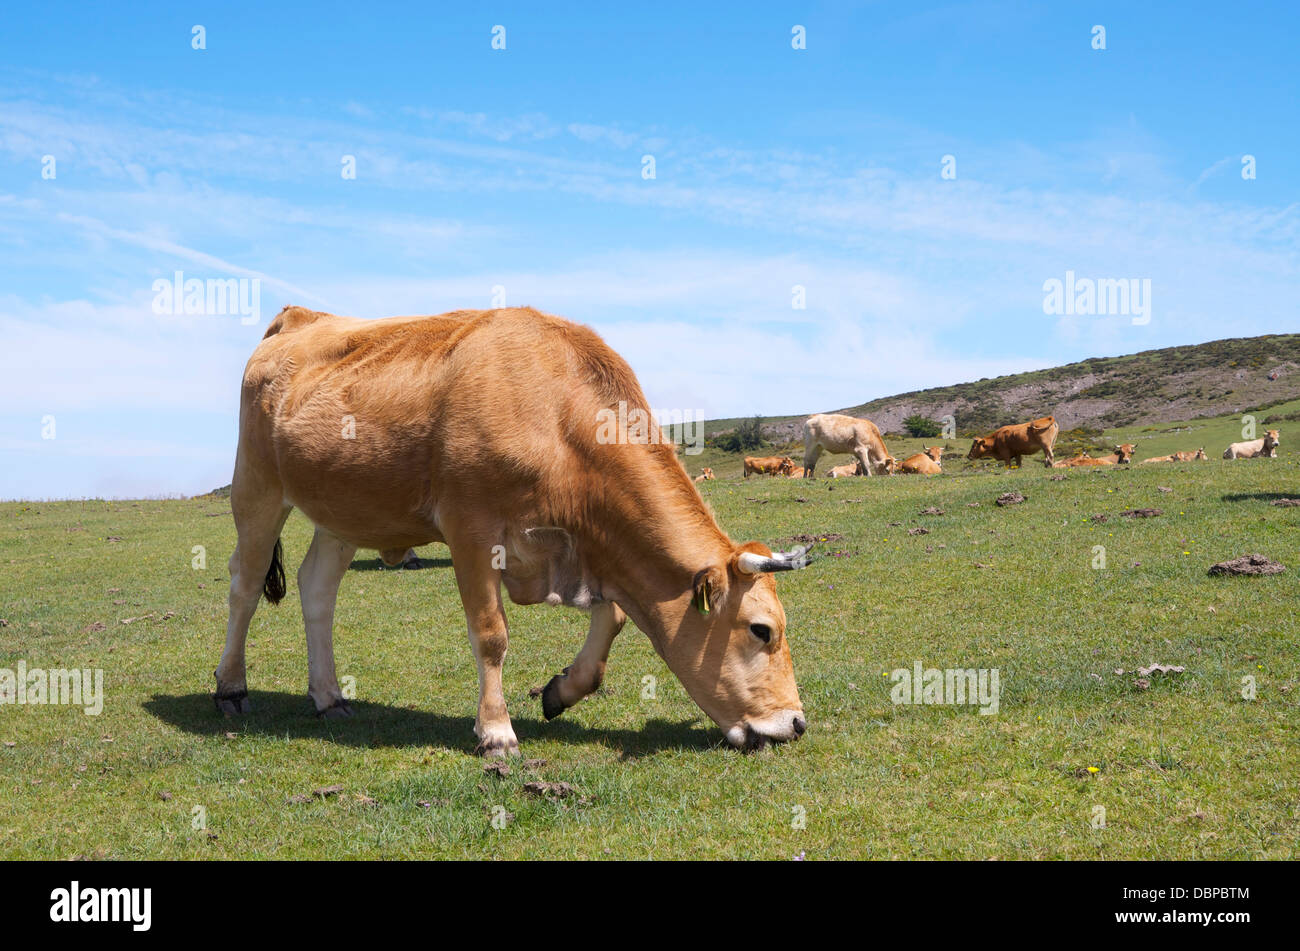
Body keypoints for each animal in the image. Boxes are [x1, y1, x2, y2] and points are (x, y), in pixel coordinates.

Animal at [215, 306, 810, 756]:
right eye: (761, 630)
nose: (797, 723)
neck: (560, 424)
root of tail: (300, 316)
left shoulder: (581, 550)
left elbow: (613, 619)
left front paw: (562, 691)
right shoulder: (472, 533)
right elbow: (491, 634)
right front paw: (496, 731)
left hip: (344, 510)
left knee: (317, 589)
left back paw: (330, 696)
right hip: (257, 487)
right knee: (244, 585)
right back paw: (231, 687)